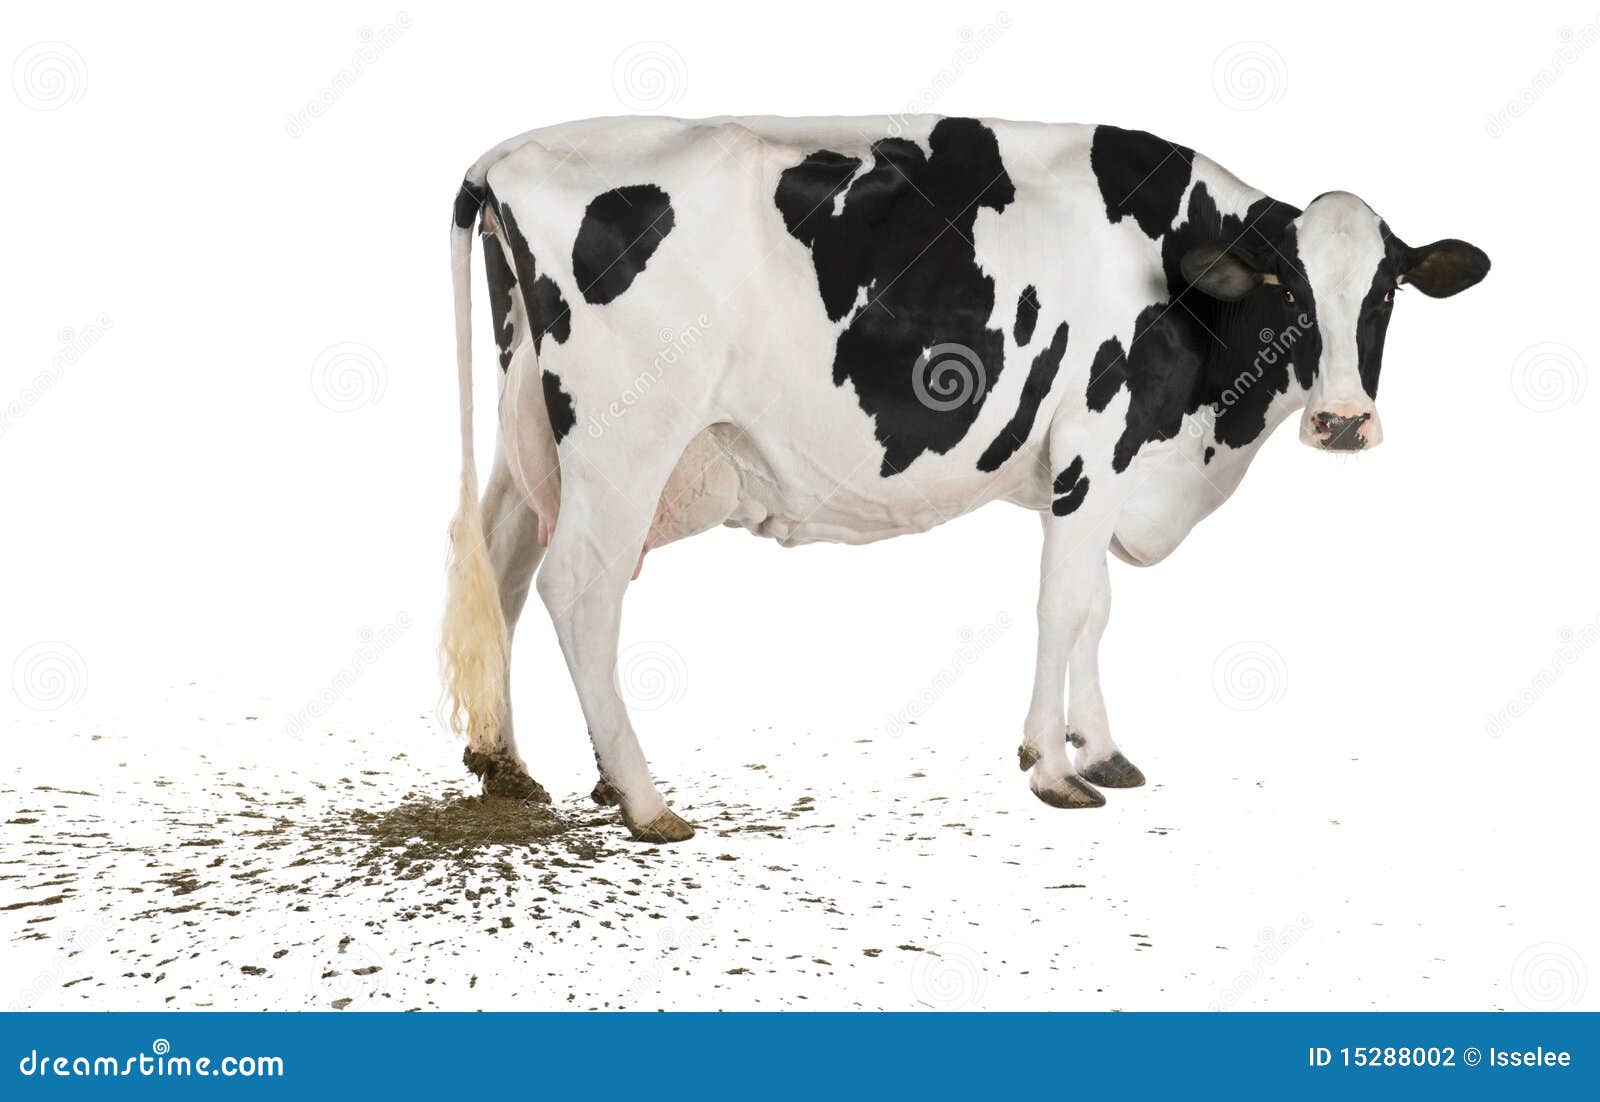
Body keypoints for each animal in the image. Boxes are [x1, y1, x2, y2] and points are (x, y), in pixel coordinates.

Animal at [440, 116, 1490, 843]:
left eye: (1387, 290)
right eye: (1287, 287)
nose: (1343, 420)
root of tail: (504, 155)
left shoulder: (1099, 468)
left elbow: (1096, 607)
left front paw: (1100, 749)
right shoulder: (1093, 445)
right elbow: (1064, 604)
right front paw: (1052, 771)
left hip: (532, 426)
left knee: (503, 561)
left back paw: (505, 764)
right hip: (624, 439)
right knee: (581, 588)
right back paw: (643, 798)